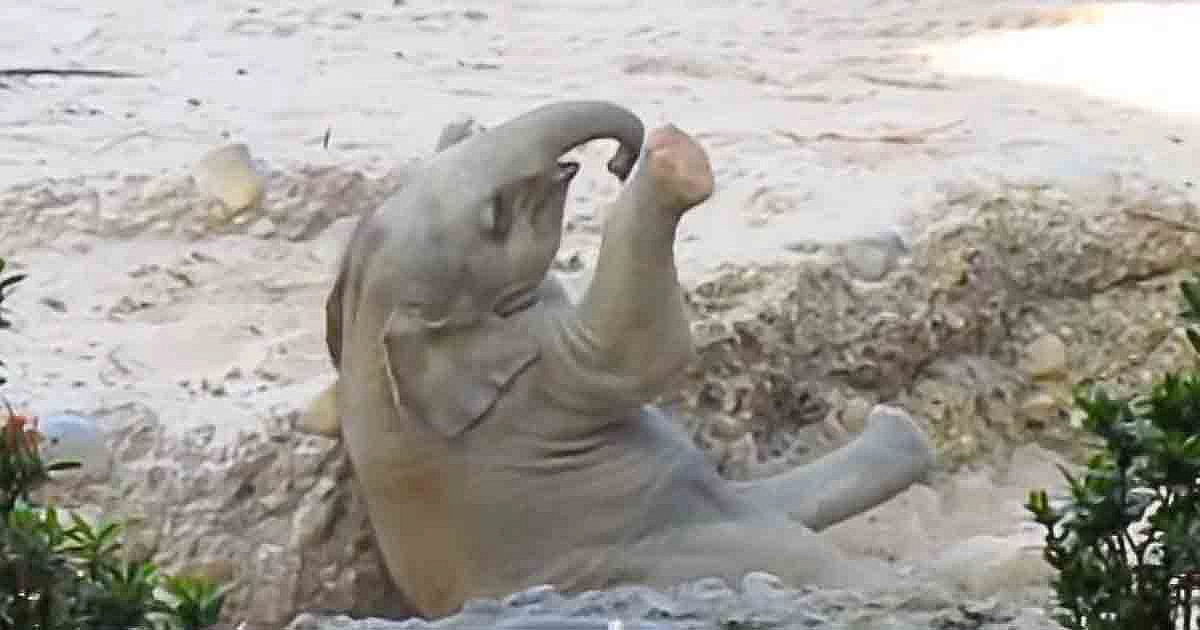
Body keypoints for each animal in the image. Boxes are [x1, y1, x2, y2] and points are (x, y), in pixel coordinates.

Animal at [297, 100, 937, 619]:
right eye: (496, 218)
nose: (618, 160)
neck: (370, 323)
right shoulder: (543, 382)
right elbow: (644, 349)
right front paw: (673, 159)